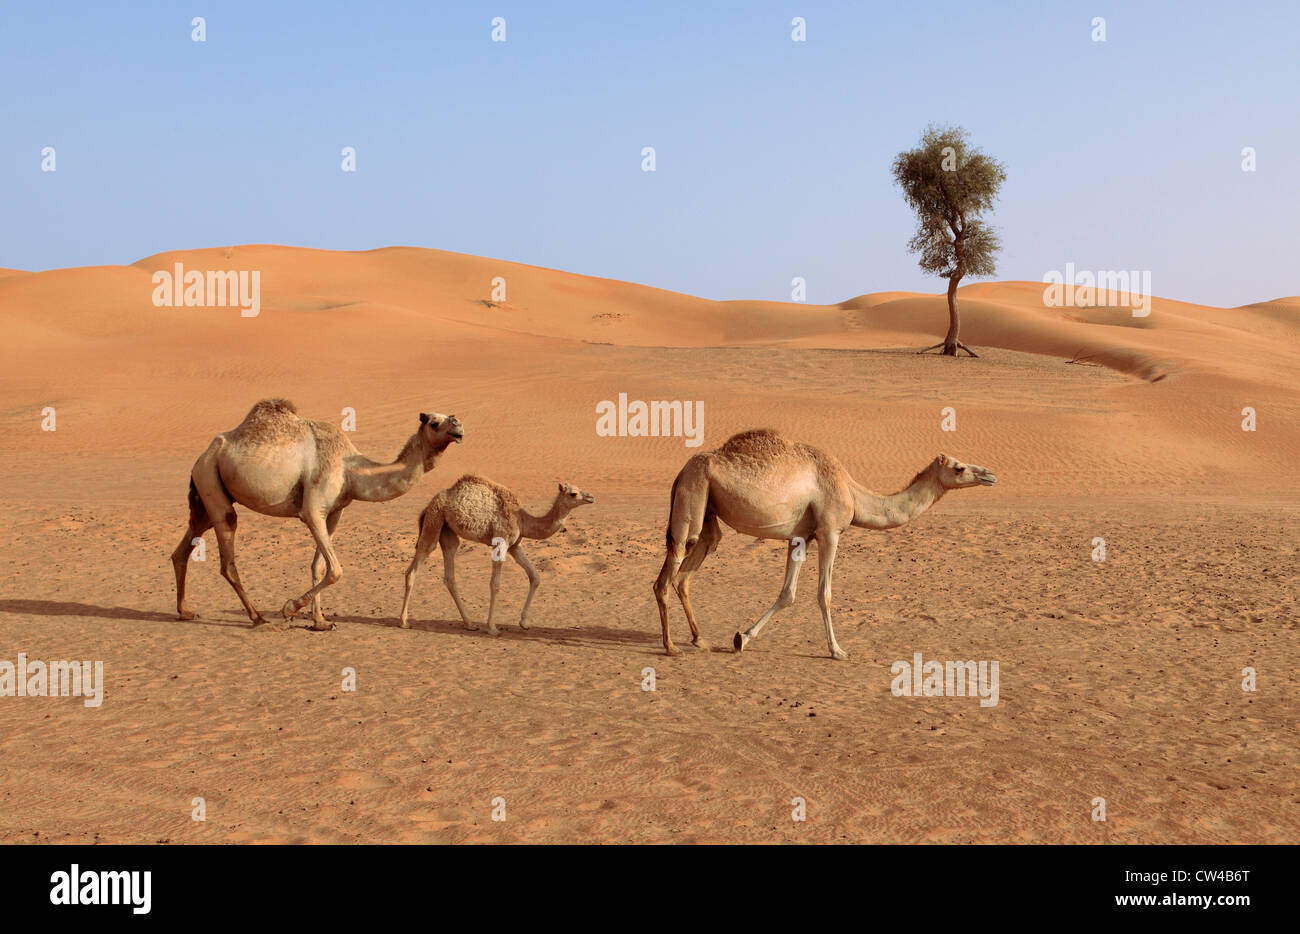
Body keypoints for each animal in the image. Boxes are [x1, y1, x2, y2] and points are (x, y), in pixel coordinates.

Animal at [171, 399, 463, 629]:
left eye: (450, 417)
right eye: (434, 423)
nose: (459, 425)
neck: (350, 470)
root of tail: (202, 456)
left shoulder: (334, 512)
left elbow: (319, 565)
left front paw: (320, 622)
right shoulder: (312, 511)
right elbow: (335, 570)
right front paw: (289, 608)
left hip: (206, 494)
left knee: (183, 548)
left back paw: (185, 611)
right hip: (211, 480)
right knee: (228, 557)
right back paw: (258, 618)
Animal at [399, 475, 595, 636]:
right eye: (573, 493)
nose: (590, 497)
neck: (523, 520)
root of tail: (428, 505)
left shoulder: (515, 545)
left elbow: (535, 576)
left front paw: (524, 622)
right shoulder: (501, 542)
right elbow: (495, 584)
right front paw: (492, 627)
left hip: (447, 530)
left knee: (449, 572)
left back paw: (469, 624)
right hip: (435, 519)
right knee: (415, 566)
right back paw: (404, 621)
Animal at [652, 429, 996, 659]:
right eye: (959, 467)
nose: (989, 474)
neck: (853, 493)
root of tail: (681, 472)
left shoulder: (802, 536)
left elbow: (787, 594)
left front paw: (741, 639)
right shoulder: (830, 531)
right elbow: (824, 594)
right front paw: (838, 650)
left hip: (707, 508)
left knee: (689, 568)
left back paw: (699, 640)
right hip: (693, 494)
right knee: (668, 573)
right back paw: (671, 647)